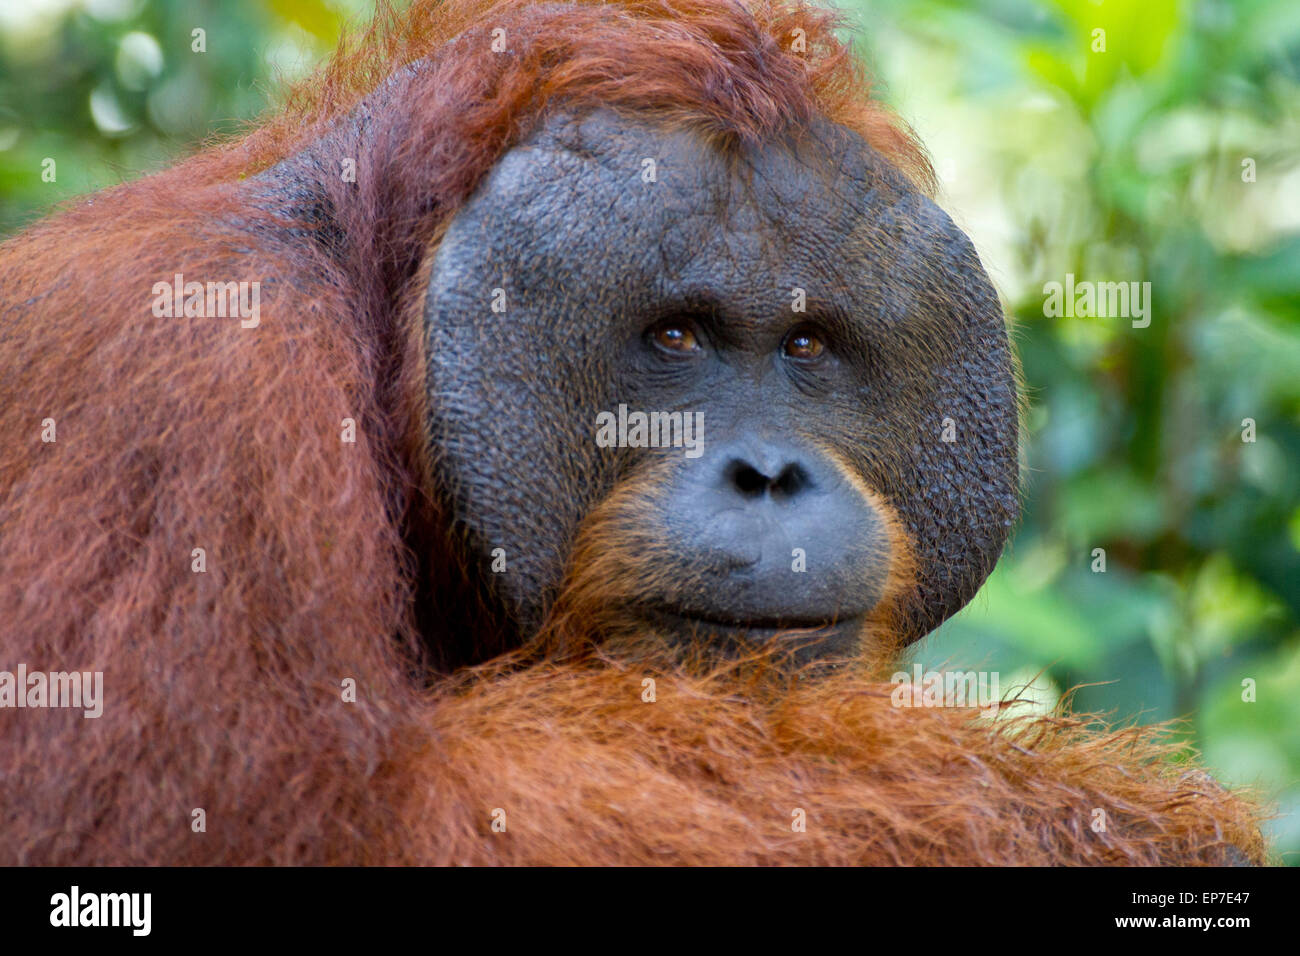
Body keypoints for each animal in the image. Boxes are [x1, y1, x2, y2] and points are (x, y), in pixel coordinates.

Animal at [0, 0, 1264, 865]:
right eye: (676, 335)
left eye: (806, 346)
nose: (770, 472)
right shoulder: (181, 394)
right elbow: (282, 818)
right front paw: (1090, 813)